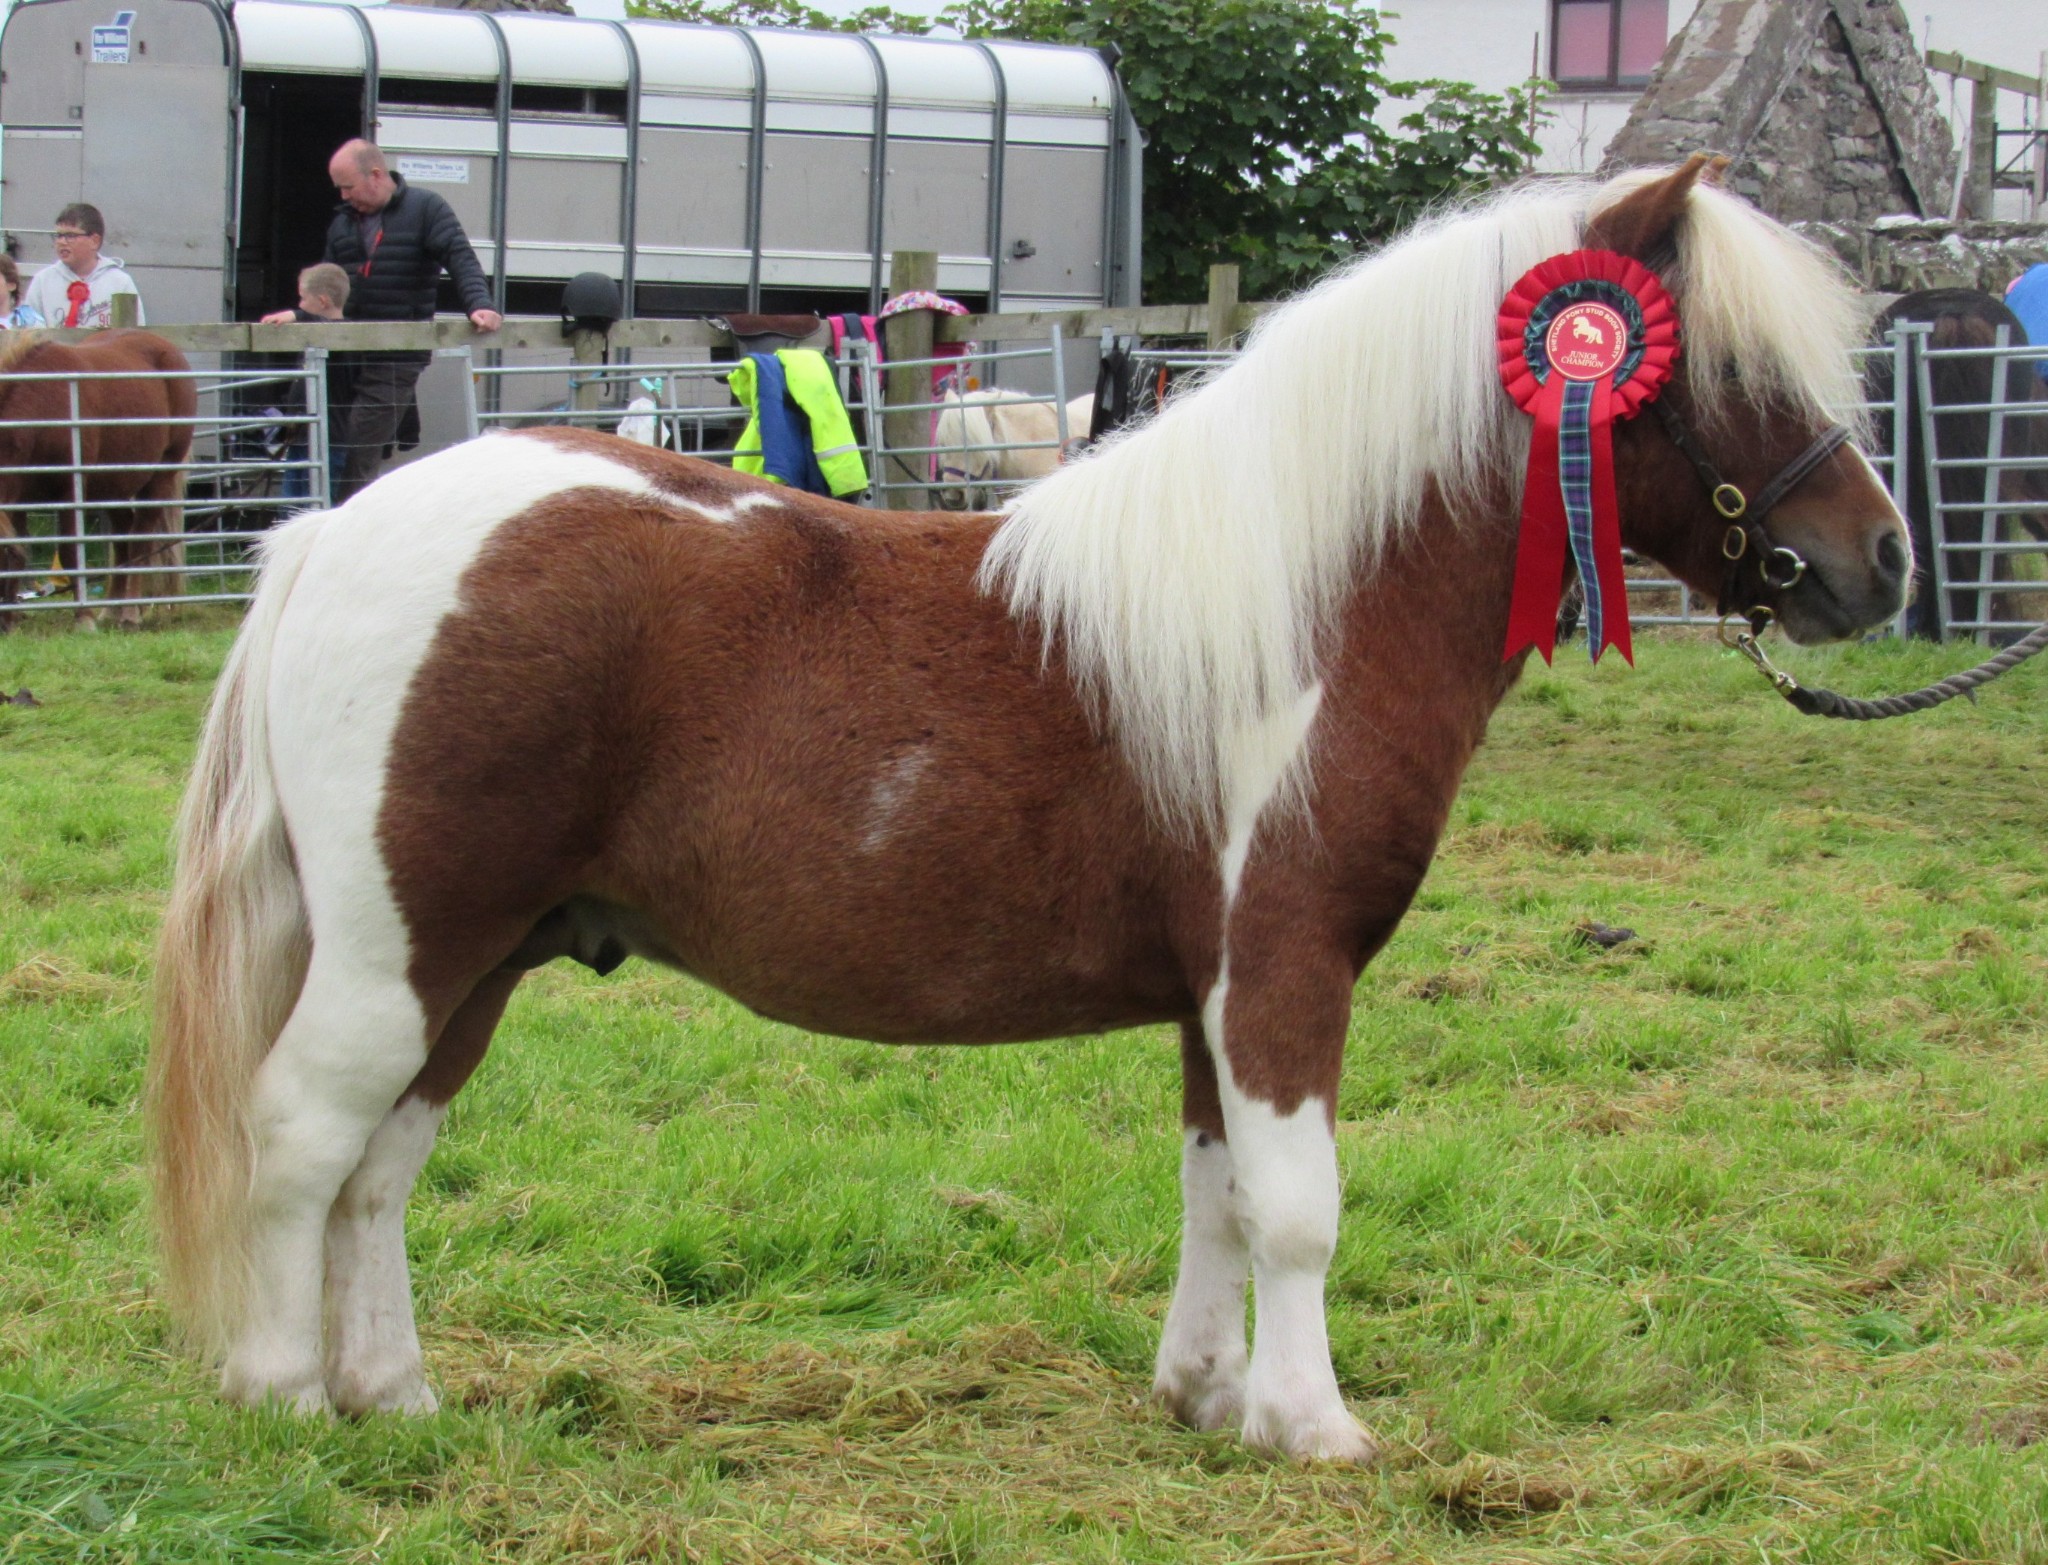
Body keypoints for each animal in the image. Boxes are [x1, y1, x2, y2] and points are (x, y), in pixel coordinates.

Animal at [0, 329, 194, 629]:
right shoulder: (18, 498)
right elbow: (21, 549)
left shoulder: (69, 492)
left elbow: (70, 553)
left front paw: (84, 618)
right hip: (113, 485)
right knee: (123, 539)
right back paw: (113, 609)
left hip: (160, 477)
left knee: (140, 541)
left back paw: (129, 613)